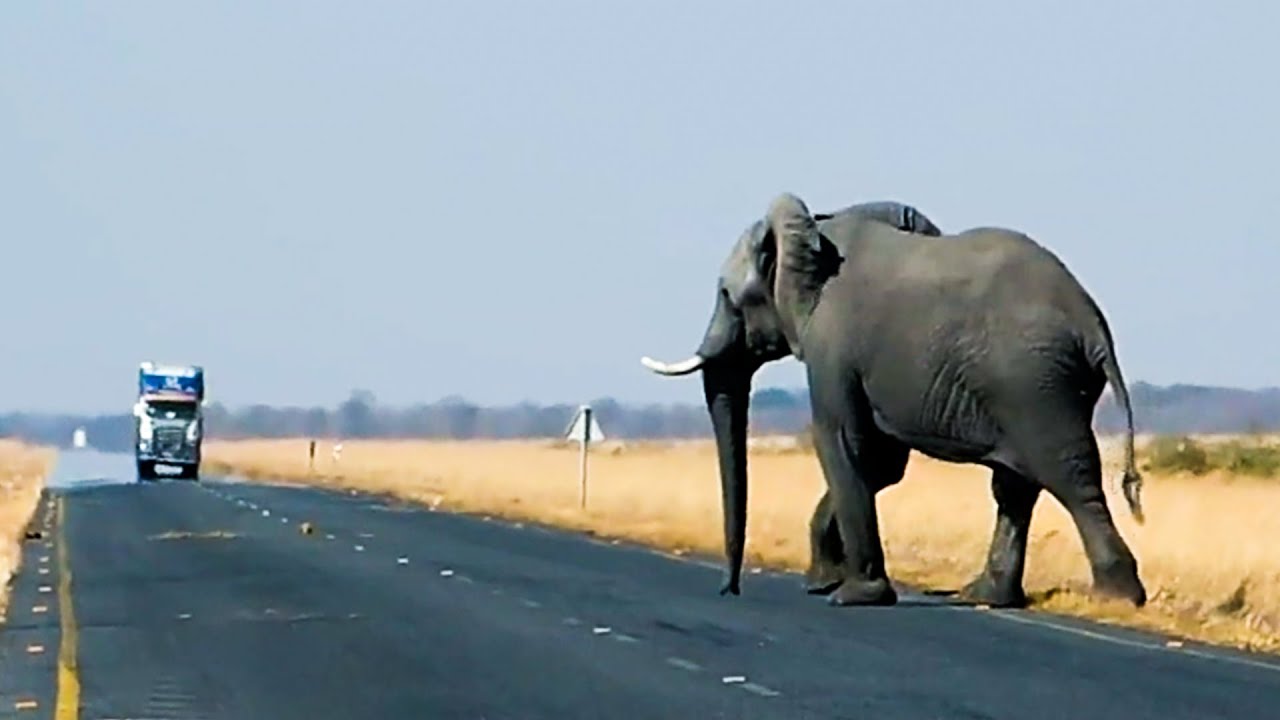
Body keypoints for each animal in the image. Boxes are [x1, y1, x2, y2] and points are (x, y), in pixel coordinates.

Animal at [641, 192, 1147, 610]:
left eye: (728, 296)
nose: (729, 590)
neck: (817, 229)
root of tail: (1092, 324)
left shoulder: (831, 345)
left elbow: (843, 445)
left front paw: (850, 596)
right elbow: (881, 464)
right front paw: (822, 583)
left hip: (1032, 384)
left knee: (1068, 477)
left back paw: (1117, 598)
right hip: (1031, 387)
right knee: (1015, 486)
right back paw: (985, 597)